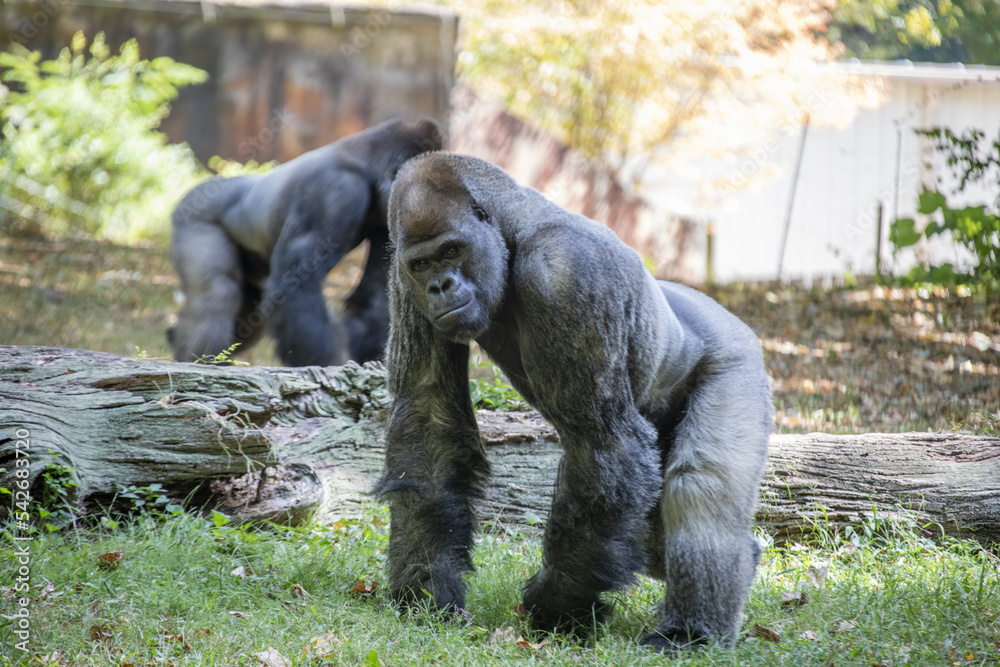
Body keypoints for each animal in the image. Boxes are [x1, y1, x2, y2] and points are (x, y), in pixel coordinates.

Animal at [167, 117, 442, 366]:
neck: (367, 163)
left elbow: (374, 292)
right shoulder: (333, 189)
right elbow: (298, 285)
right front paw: (330, 365)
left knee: (248, 318)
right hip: (193, 216)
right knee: (216, 296)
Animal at [375, 152, 772, 652]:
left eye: (451, 251)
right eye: (423, 263)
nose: (440, 286)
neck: (511, 231)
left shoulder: (563, 271)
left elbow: (602, 444)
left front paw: (556, 604)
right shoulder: (402, 280)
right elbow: (427, 417)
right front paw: (428, 586)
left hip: (736, 357)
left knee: (698, 485)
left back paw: (690, 630)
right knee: (648, 532)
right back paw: (744, 562)